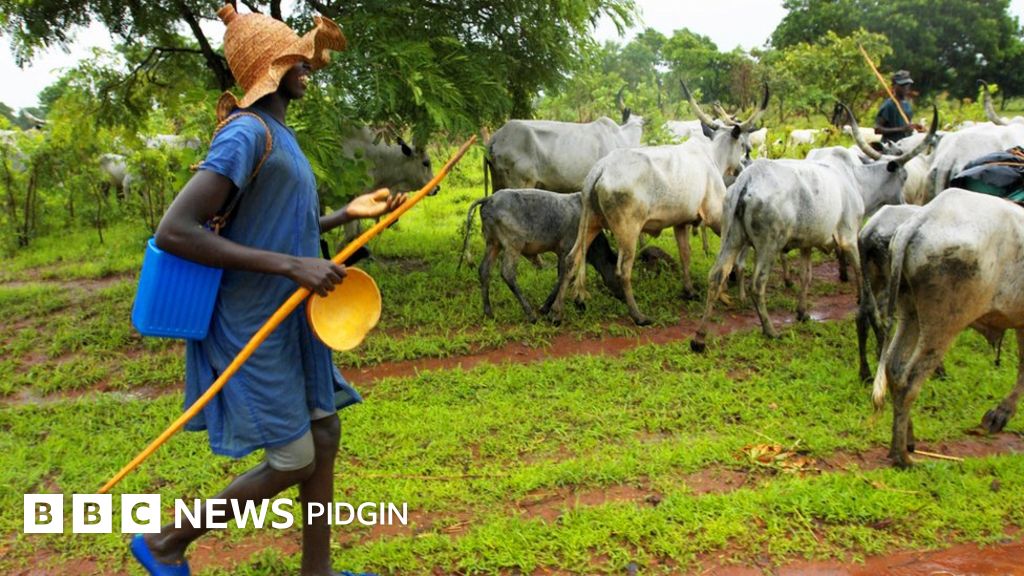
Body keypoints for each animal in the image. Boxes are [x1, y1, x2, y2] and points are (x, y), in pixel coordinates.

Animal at [460, 188, 623, 322]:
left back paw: (488, 312)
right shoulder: (566, 251)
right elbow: (564, 277)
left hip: (493, 244)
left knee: (484, 270)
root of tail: (489, 198)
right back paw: (530, 314)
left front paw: (578, 303)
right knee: (507, 273)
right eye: (618, 277)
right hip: (513, 245)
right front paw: (547, 308)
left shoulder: (562, 253)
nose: (623, 296)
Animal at [548, 80, 769, 326]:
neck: (711, 155)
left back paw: (556, 311)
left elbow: (685, 255)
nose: (743, 164)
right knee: (622, 270)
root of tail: (601, 168)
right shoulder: (715, 217)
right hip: (628, 230)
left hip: (591, 222)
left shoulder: (681, 223)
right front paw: (726, 291)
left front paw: (689, 290)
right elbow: (728, 251)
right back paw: (637, 315)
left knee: (571, 259)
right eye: (742, 144)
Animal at [690, 106, 937, 351]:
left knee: (716, 276)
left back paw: (699, 337)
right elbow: (860, 272)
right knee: (757, 285)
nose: (903, 202)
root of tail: (746, 181)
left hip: (732, 237)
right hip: (769, 244)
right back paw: (769, 330)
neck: (856, 181)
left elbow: (806, 275)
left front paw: (802, 312)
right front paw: (865, 306)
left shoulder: (807, 244)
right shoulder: (848, 237)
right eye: (903, 177)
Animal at [871, 189, 1024, 467]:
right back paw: (902, 457)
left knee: (894, 368)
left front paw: (1001, 414)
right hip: (942, 325)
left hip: (911, 314)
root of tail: (921, 220)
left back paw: (907, 441)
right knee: (909, 380)